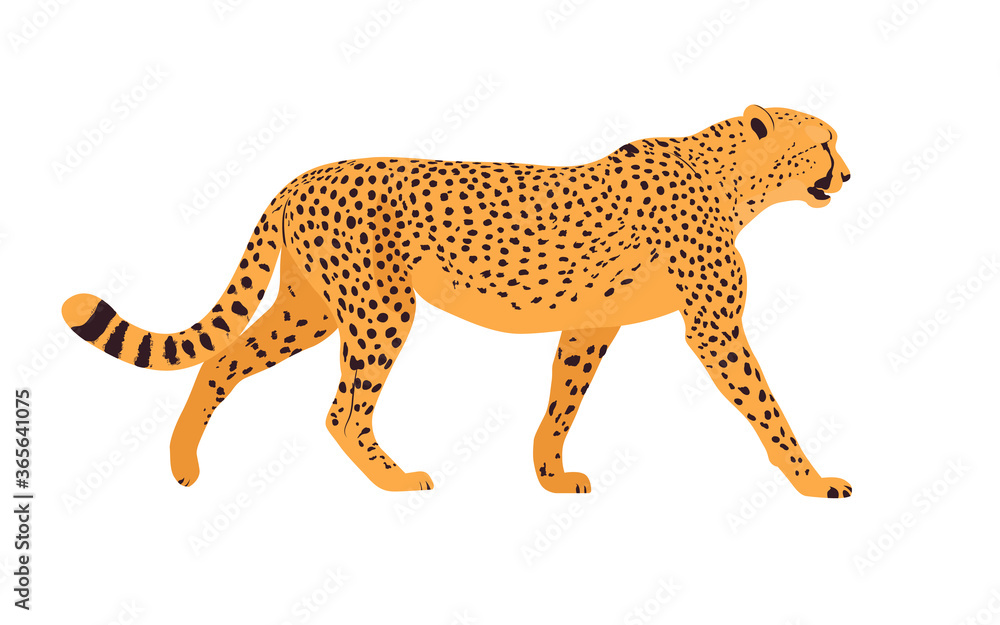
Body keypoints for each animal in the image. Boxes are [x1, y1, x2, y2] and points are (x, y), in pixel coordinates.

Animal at [62, 104, 853, 498]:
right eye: (824, 143)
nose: (846, 174)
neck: (735, 177)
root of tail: (300, 177)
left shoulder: (589, 324)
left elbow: (563, 400)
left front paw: (550, 475)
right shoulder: (714, 328)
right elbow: (768, 406)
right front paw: (813, 480)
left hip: (311, 309)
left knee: (223, 359)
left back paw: (182, 464)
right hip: (379, 307)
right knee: (341, 409)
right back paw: (395, 480)